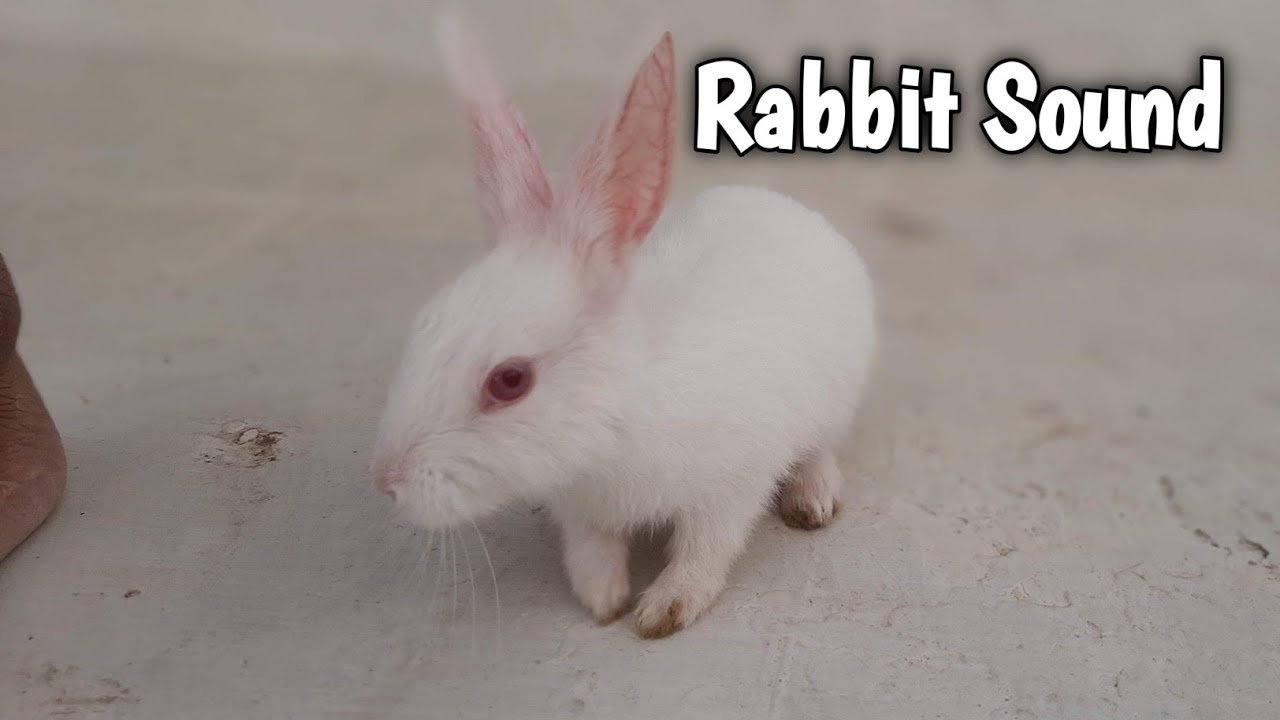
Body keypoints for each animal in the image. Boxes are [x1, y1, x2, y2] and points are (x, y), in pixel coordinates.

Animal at [371, 23, 875, 639]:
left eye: (510, 381)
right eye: (422, 325)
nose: (386, 481)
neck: (615, 415)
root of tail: (779, 202)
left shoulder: (731, 485)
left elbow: (707, 549)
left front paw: (664, 610)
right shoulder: (580, 511)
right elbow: (591, 550)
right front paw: (604, 600)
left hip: (835, 400)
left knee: (819, 450)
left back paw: (813, 501)